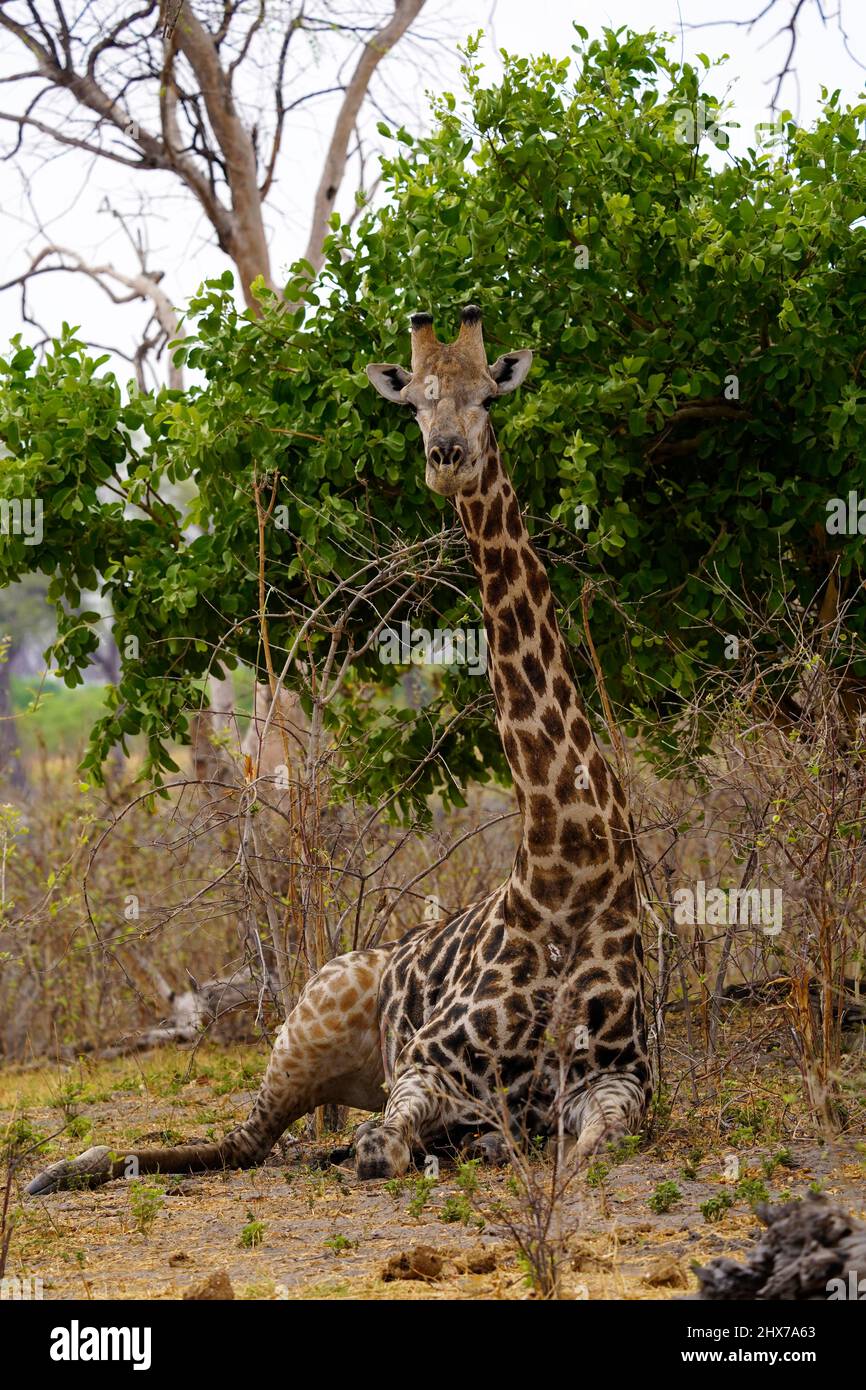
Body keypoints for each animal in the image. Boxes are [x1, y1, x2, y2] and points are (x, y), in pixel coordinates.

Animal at [25, 305, 649, 1196]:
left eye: (487, 397)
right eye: (415, 404)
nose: (446, 459)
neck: (572, 864)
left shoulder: (619, 1076)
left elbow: (591, 1146)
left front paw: (487, 1144)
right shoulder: (428, 1063)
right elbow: (382, 1148)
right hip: (308, 1024)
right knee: (244, 1143)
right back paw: (61, 1171)